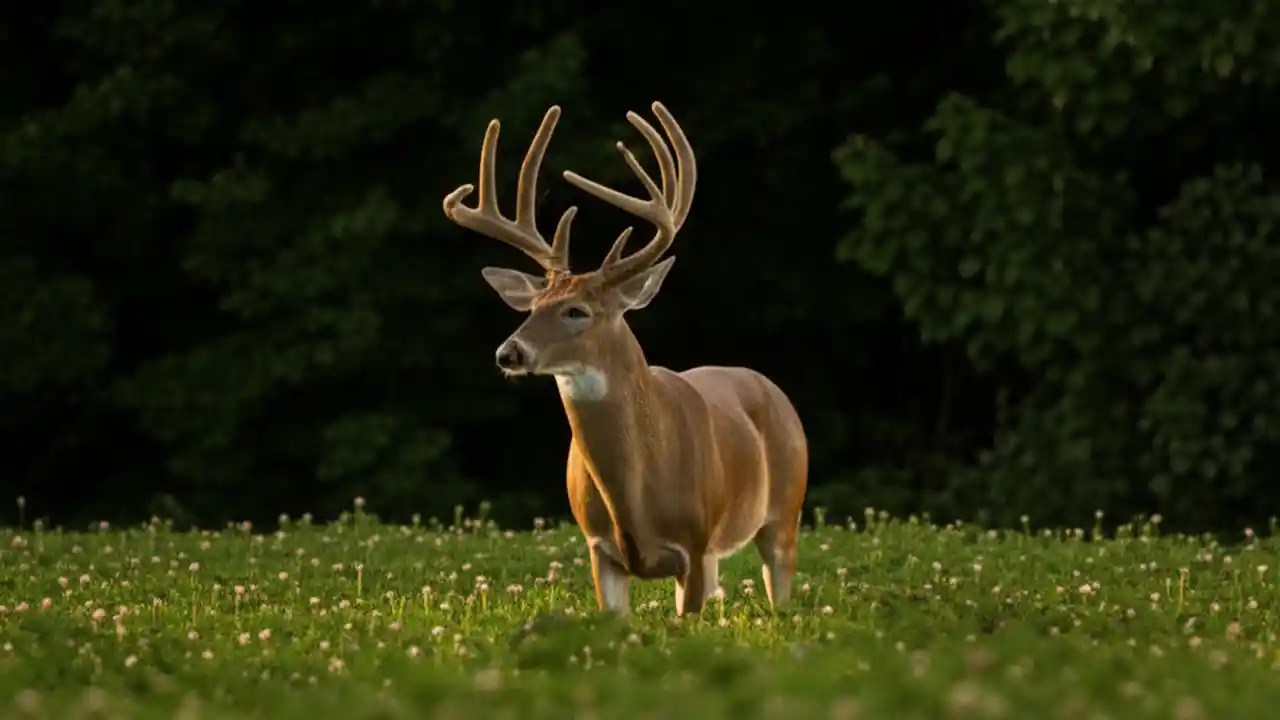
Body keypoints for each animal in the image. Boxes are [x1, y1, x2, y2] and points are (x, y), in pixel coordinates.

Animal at [441, 101, 809, 616]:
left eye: (577, 310)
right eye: (531, 308)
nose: (508, 351)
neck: (633, 497)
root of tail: (771, 388)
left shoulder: (695, 544)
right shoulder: (600, 549)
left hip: (786, 510)